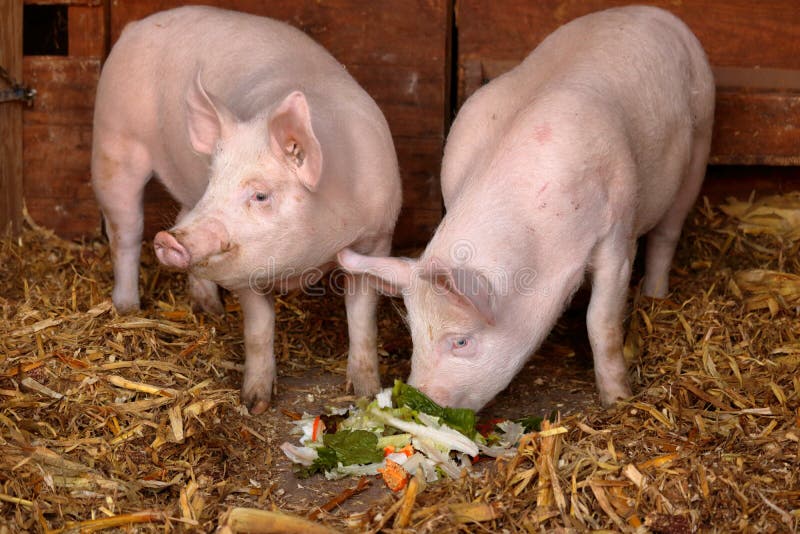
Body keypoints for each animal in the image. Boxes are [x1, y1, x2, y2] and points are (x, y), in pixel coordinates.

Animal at [91, 6, 402, 414]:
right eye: (214, 180)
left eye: (260, 195)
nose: (169, 243)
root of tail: (135, 27)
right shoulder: (245, 272)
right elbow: (259, 329)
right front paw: (255, 404)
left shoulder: (377, 238)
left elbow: (363, 319)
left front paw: (367, 393)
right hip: (113, 141)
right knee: (124, 234)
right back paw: (128, 310)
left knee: (178, 216)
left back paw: (210, 309)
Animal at [337, 6, 714, 410]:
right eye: (414, 335)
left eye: (461, 341)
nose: (419, 400)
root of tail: (653, 12)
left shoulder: (616, 233)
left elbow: (601, 323)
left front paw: (618, 400)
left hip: (700, 138)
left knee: (667, 235)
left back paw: (656, 295)